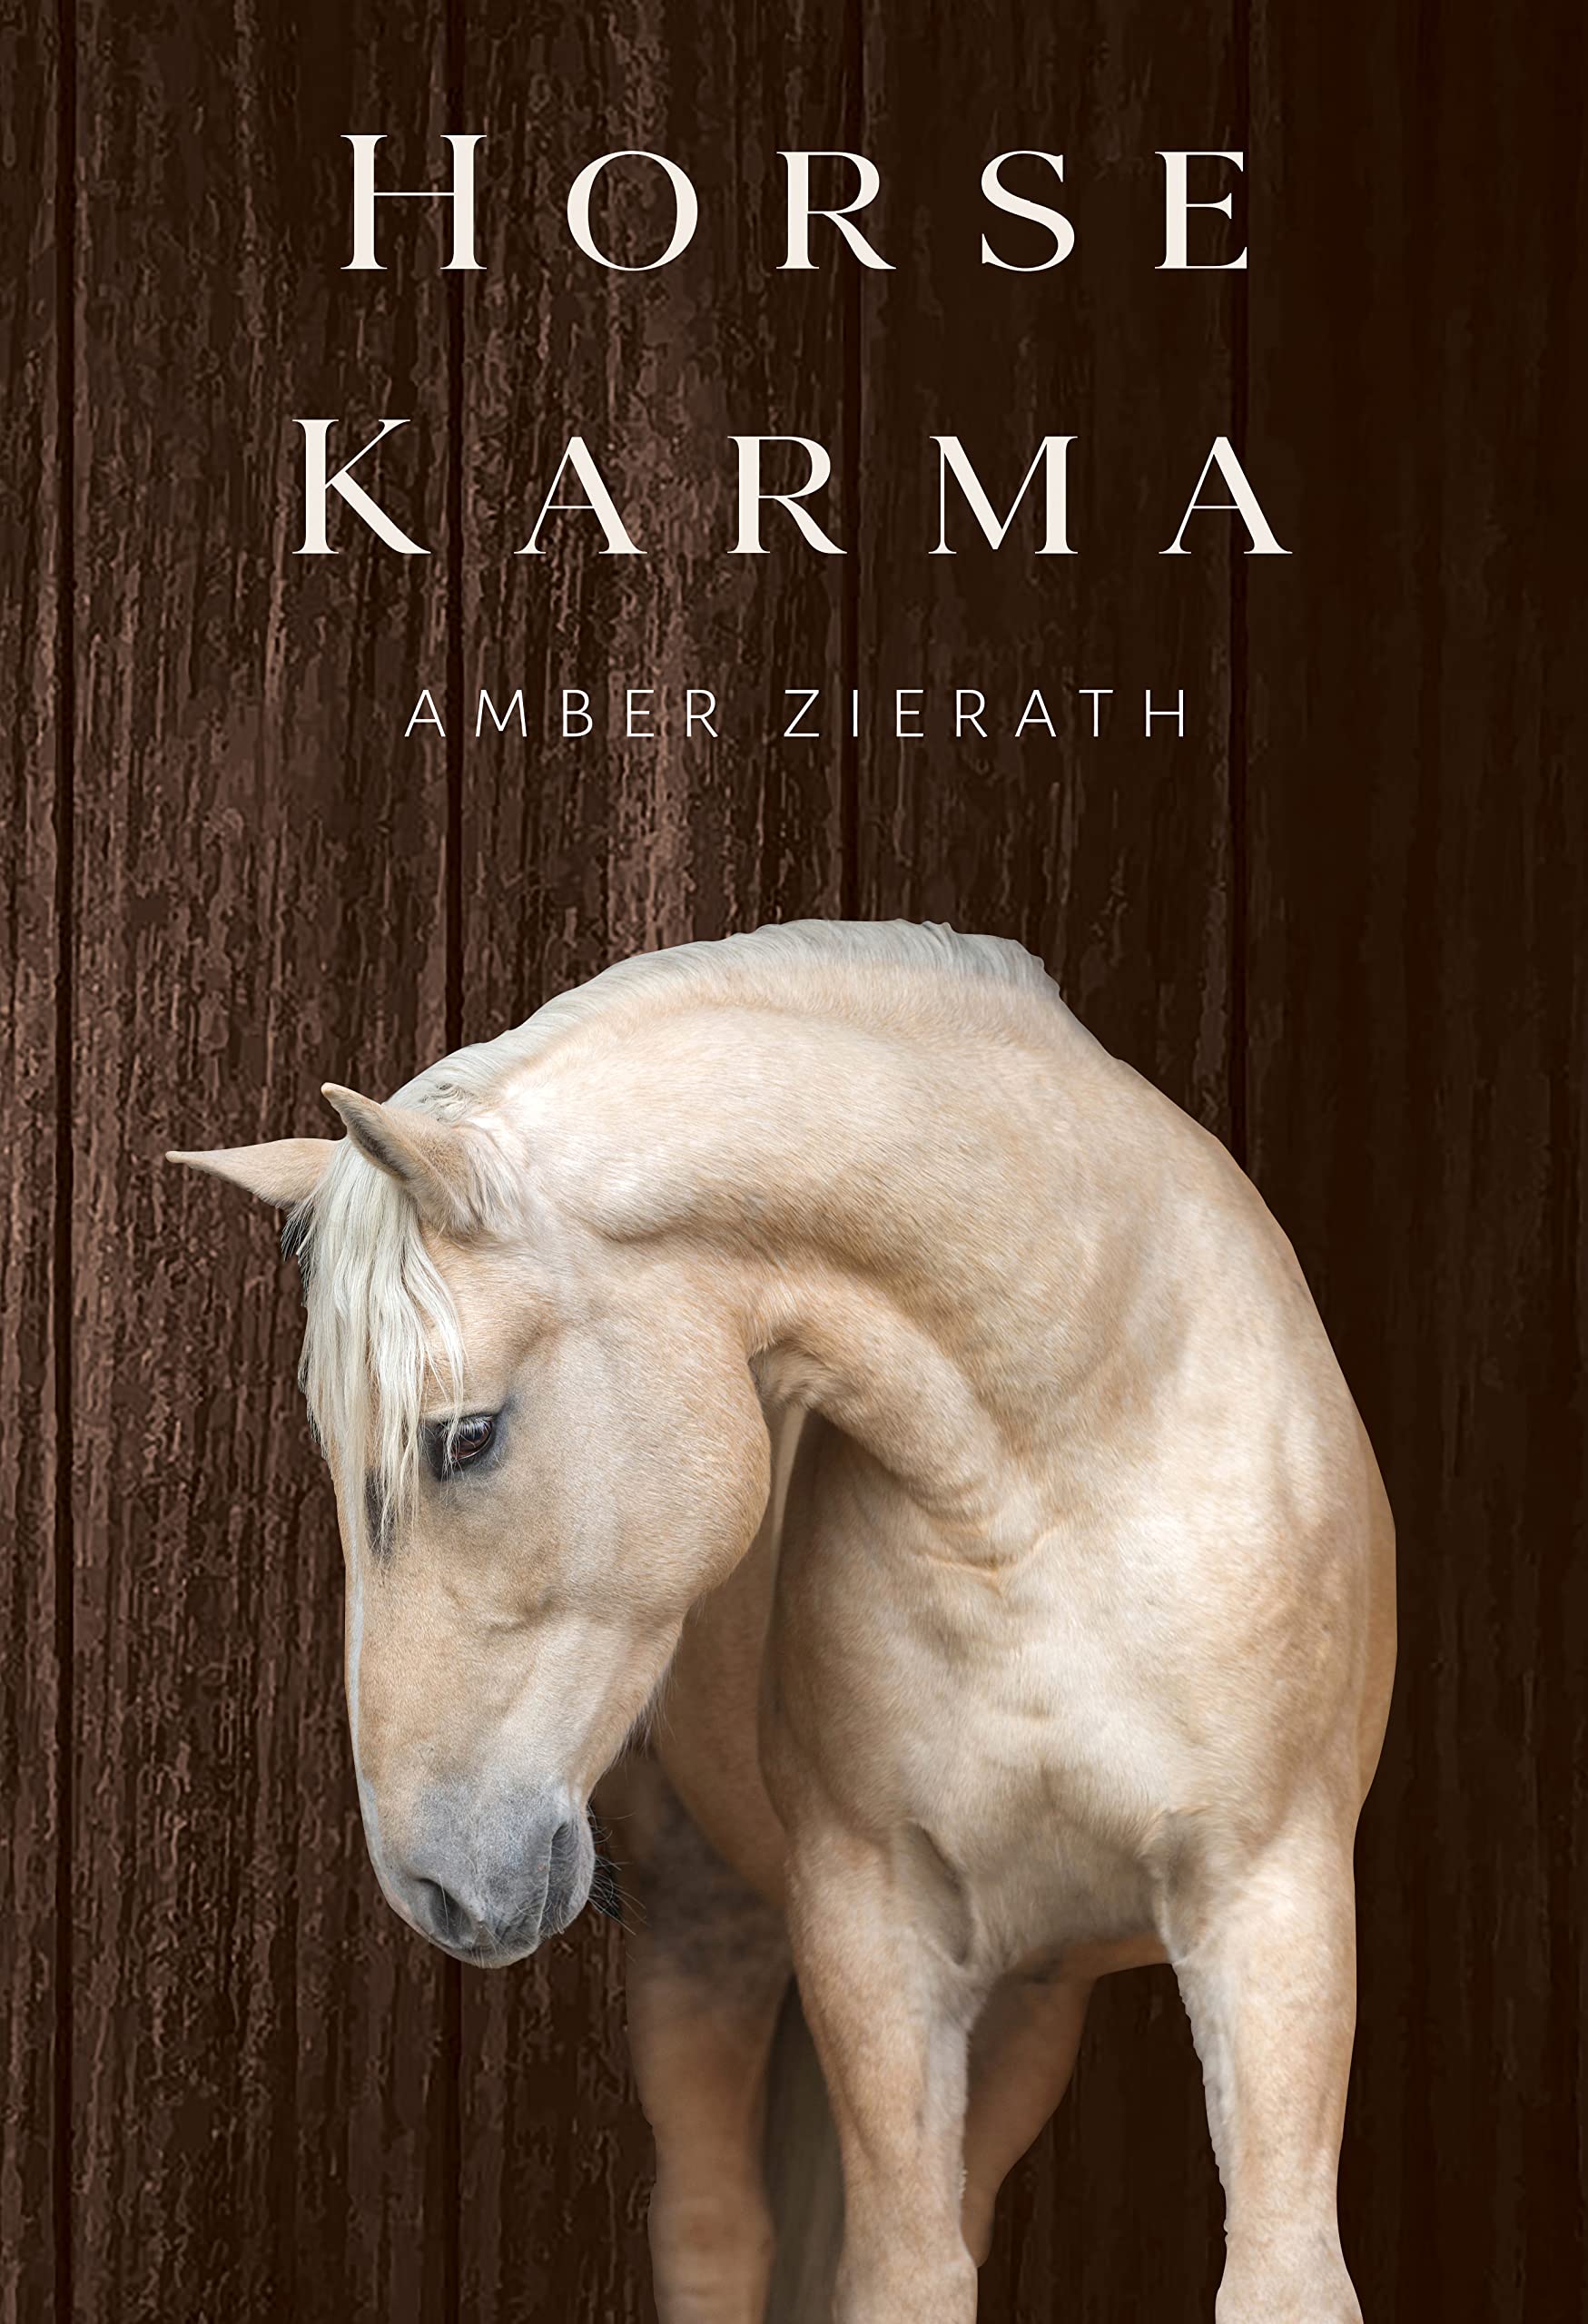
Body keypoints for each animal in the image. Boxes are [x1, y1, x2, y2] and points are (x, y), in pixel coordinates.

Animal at [170, 919, 1395, 2324]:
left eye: (466, 1438)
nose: (434, 1884)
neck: (1080, 1444)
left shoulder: (1272, 1906)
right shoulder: (872, 1926)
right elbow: (900, 2276)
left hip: (1023, 2002)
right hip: (712, 1928)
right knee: (716, 2232)